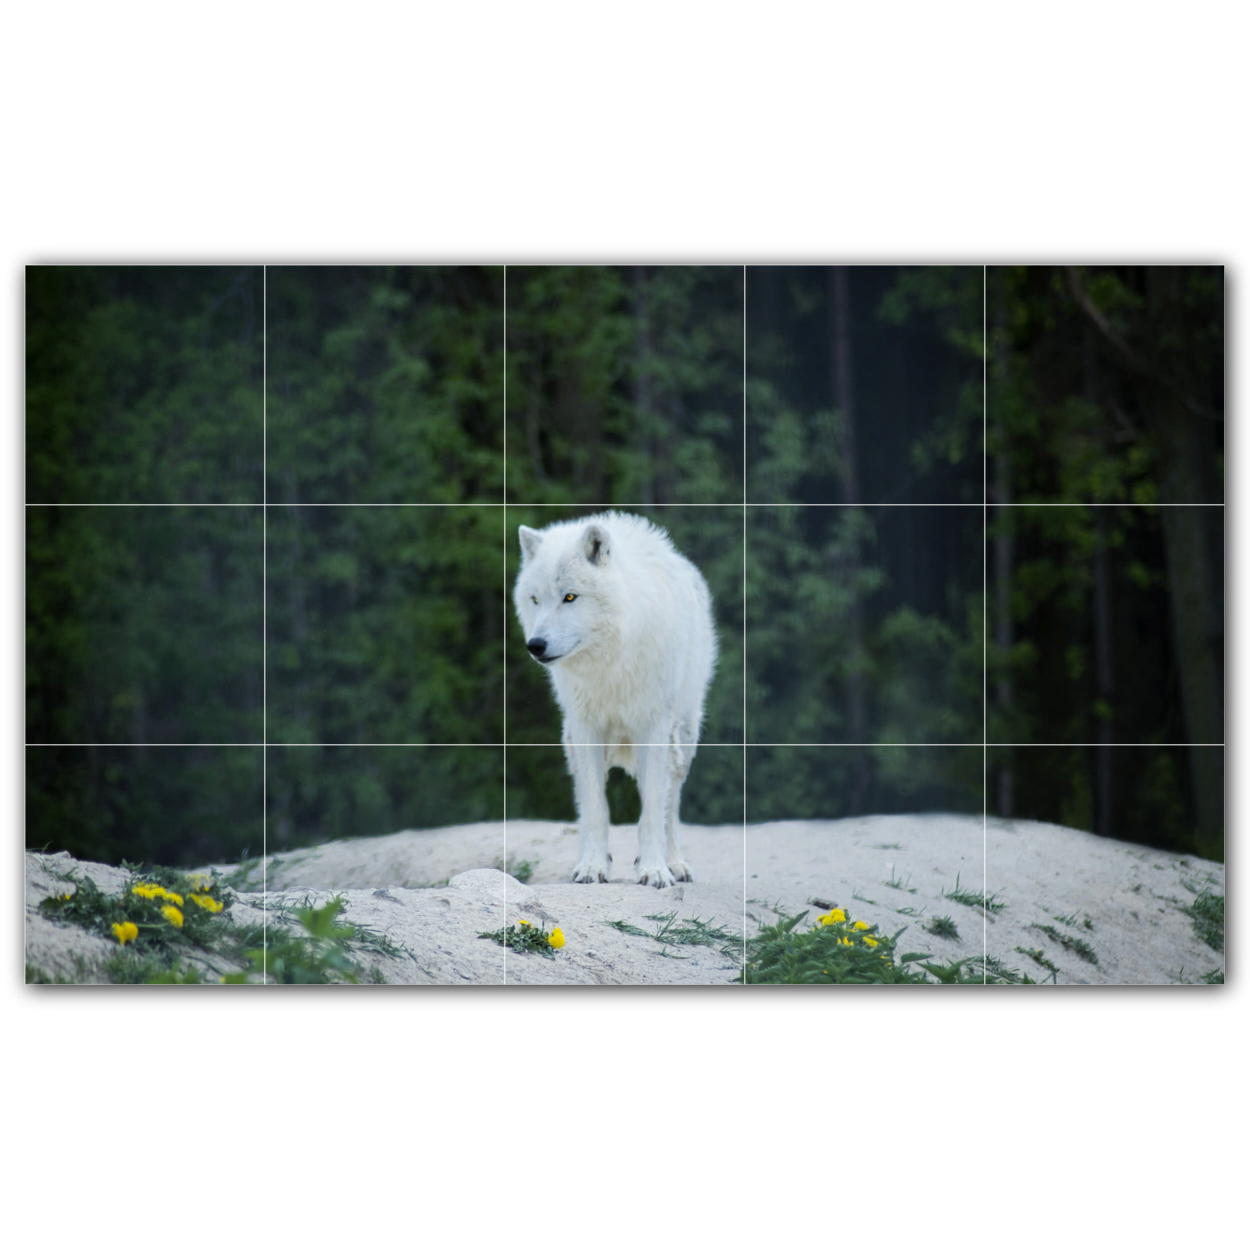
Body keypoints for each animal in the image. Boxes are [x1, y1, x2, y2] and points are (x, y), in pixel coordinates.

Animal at [513, 512, 717, 888]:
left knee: (671, 805)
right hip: (571, 743)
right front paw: (593, 866)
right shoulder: (586, 728)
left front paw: (654, 870)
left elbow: (652, 811)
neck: (608, 661)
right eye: (535, 600)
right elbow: (596, 809)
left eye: (569, 597)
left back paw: (675, 864)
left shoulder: (653, 727)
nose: (535, 645)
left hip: (682, 739)